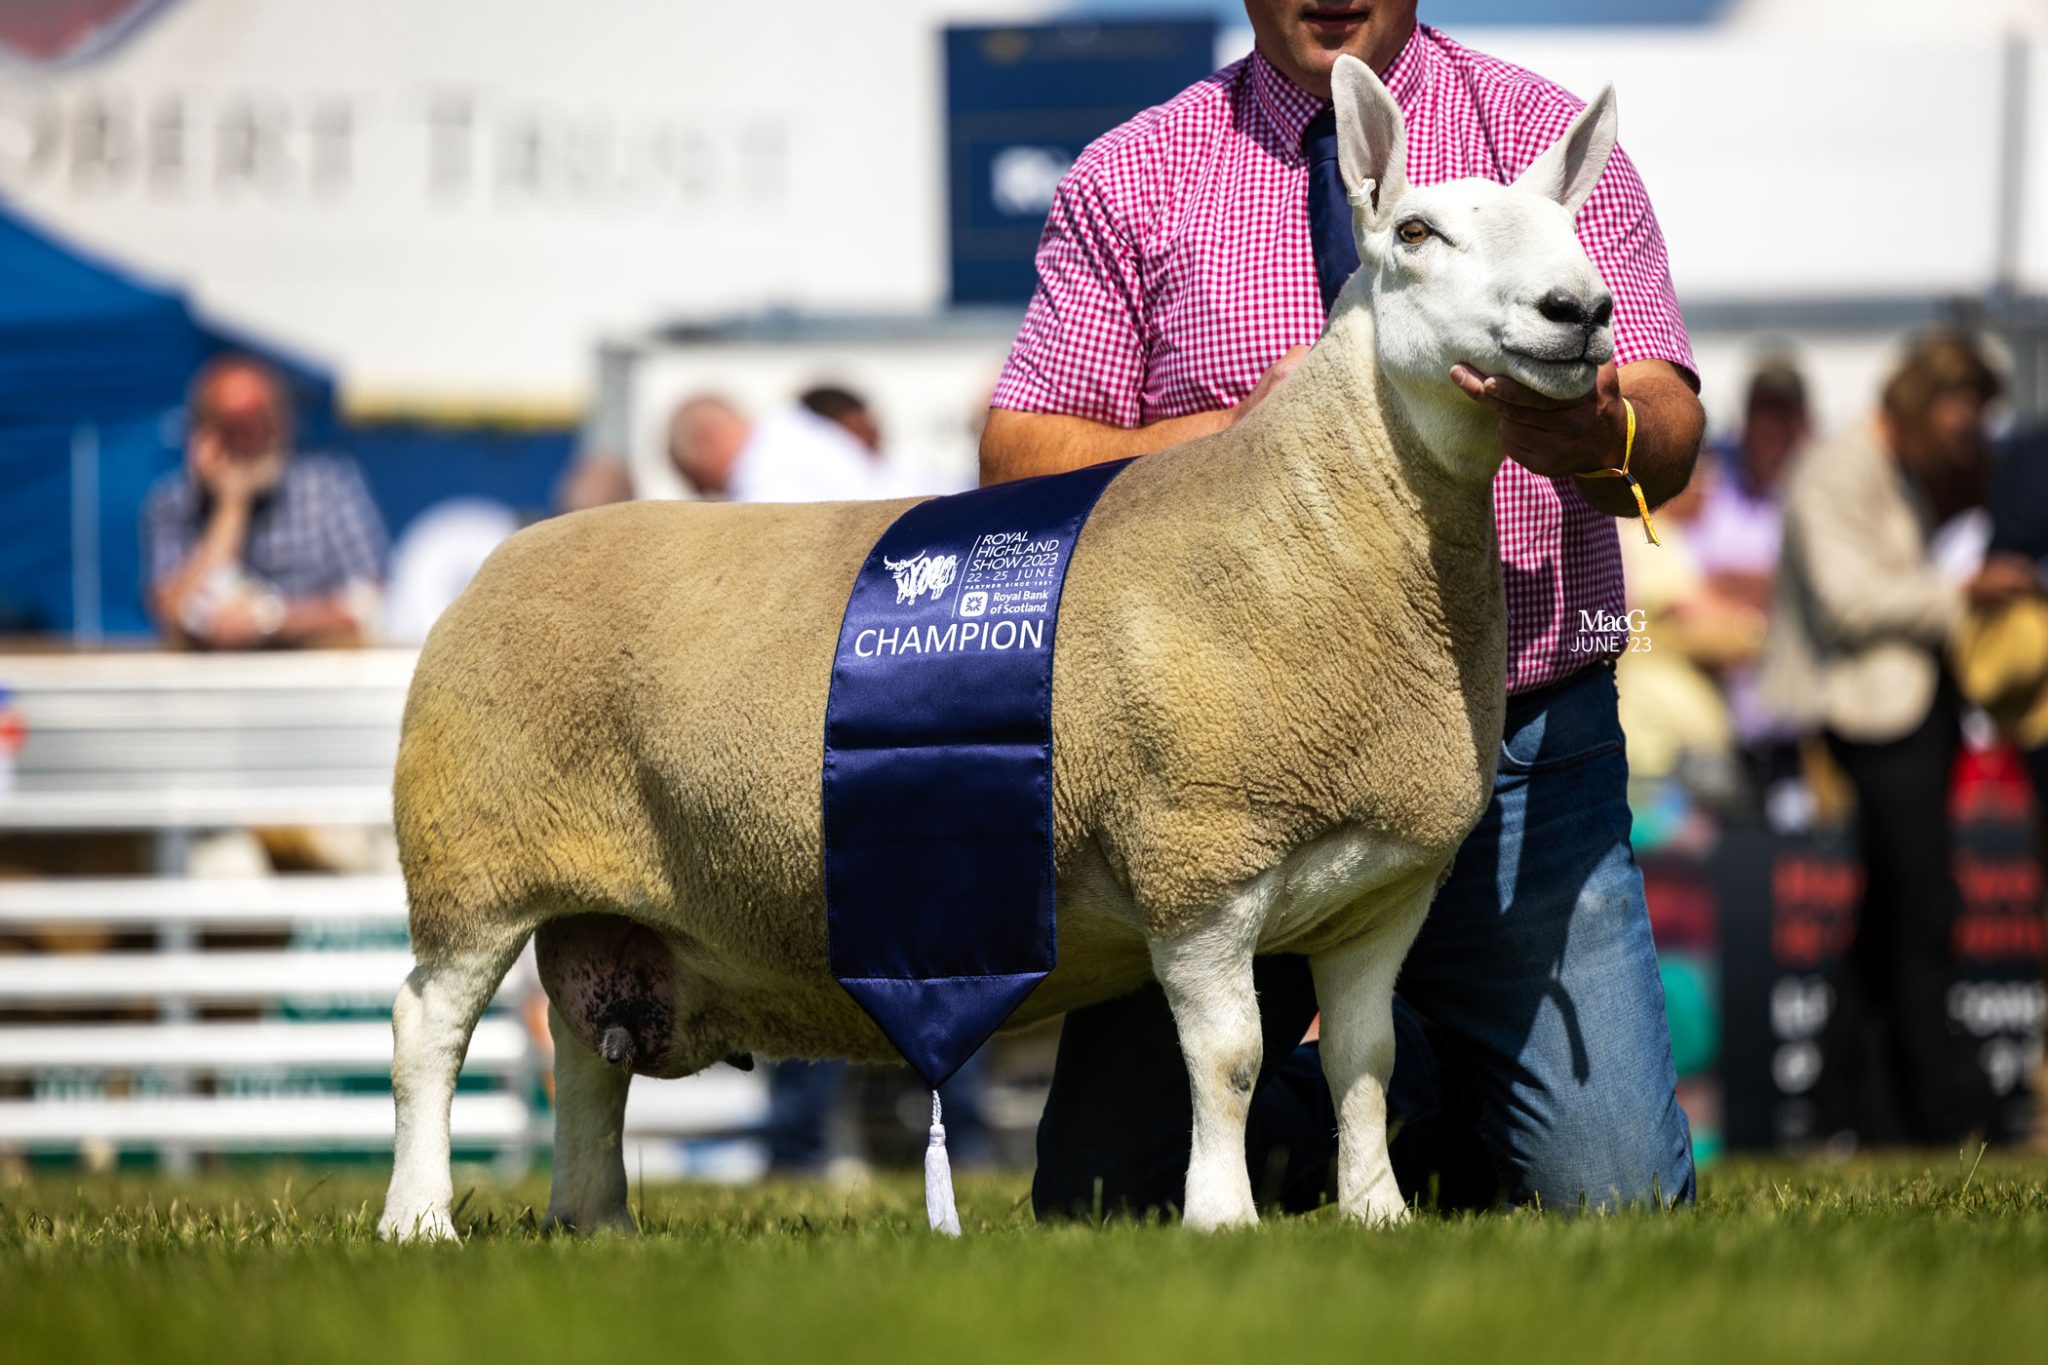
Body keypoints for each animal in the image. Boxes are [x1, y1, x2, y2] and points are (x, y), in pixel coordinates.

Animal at [377, 54, 1622, 1240]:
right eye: (1414, 233)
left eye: (1574, 230)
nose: (1580, 309)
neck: (1314, 524)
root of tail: (509, 553)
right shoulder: (1198, 859)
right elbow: (1229, 1061)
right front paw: (1222, 1219)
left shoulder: (1382, 886)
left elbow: (1364, 1066)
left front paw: (1376, 1218)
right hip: (472, 857)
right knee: (424, 1031)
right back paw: (420, 1221)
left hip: (609, 905)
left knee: (588, 1052)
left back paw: (595, 1221)